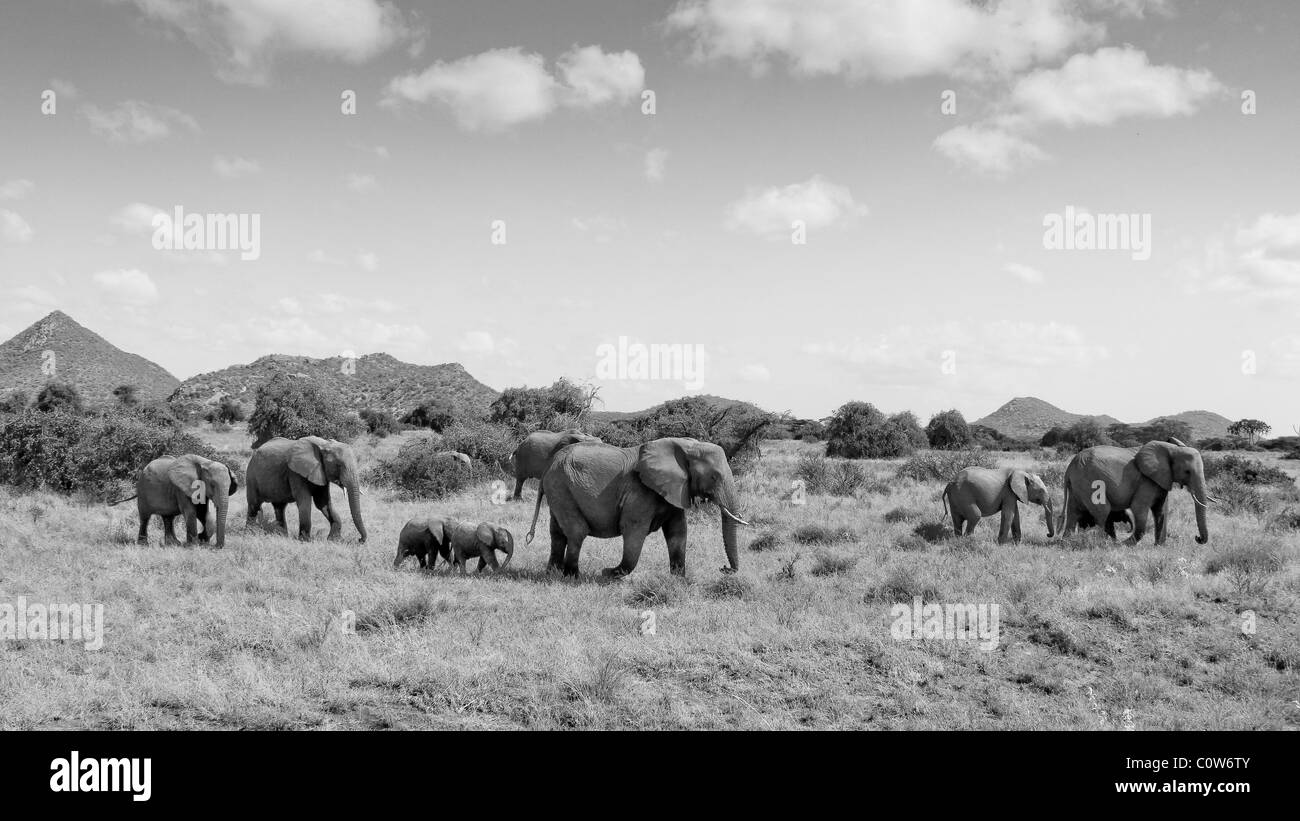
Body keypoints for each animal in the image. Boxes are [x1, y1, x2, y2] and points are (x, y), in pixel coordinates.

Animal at [528, 437, 748, 578]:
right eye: (714, 477)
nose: (724, 569)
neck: (687, 446)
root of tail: (550, 464)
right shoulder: (639, 492)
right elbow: (634, 531)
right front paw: (608, 574)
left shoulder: (674, 489)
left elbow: (678, 533)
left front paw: (678, 581)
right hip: (561, 486)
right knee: (577, 532)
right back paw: (573, 577)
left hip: (559, 489)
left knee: (557, 532)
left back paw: (553, 573)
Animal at [1060, 438, 1214, 546]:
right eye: (1187, 471)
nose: (1197, 538)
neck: (1170, 449)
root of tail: (1069, 468)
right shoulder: (1146, 480)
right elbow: (1139, 508)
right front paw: (1126, 544)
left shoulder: (1162, 479)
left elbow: (1160, 510)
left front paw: (1159, 546)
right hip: (1088, 482)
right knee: (1102, 511)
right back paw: (1104, 543)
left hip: (1077, 486)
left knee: (1073, 512)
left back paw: (1067, 542)